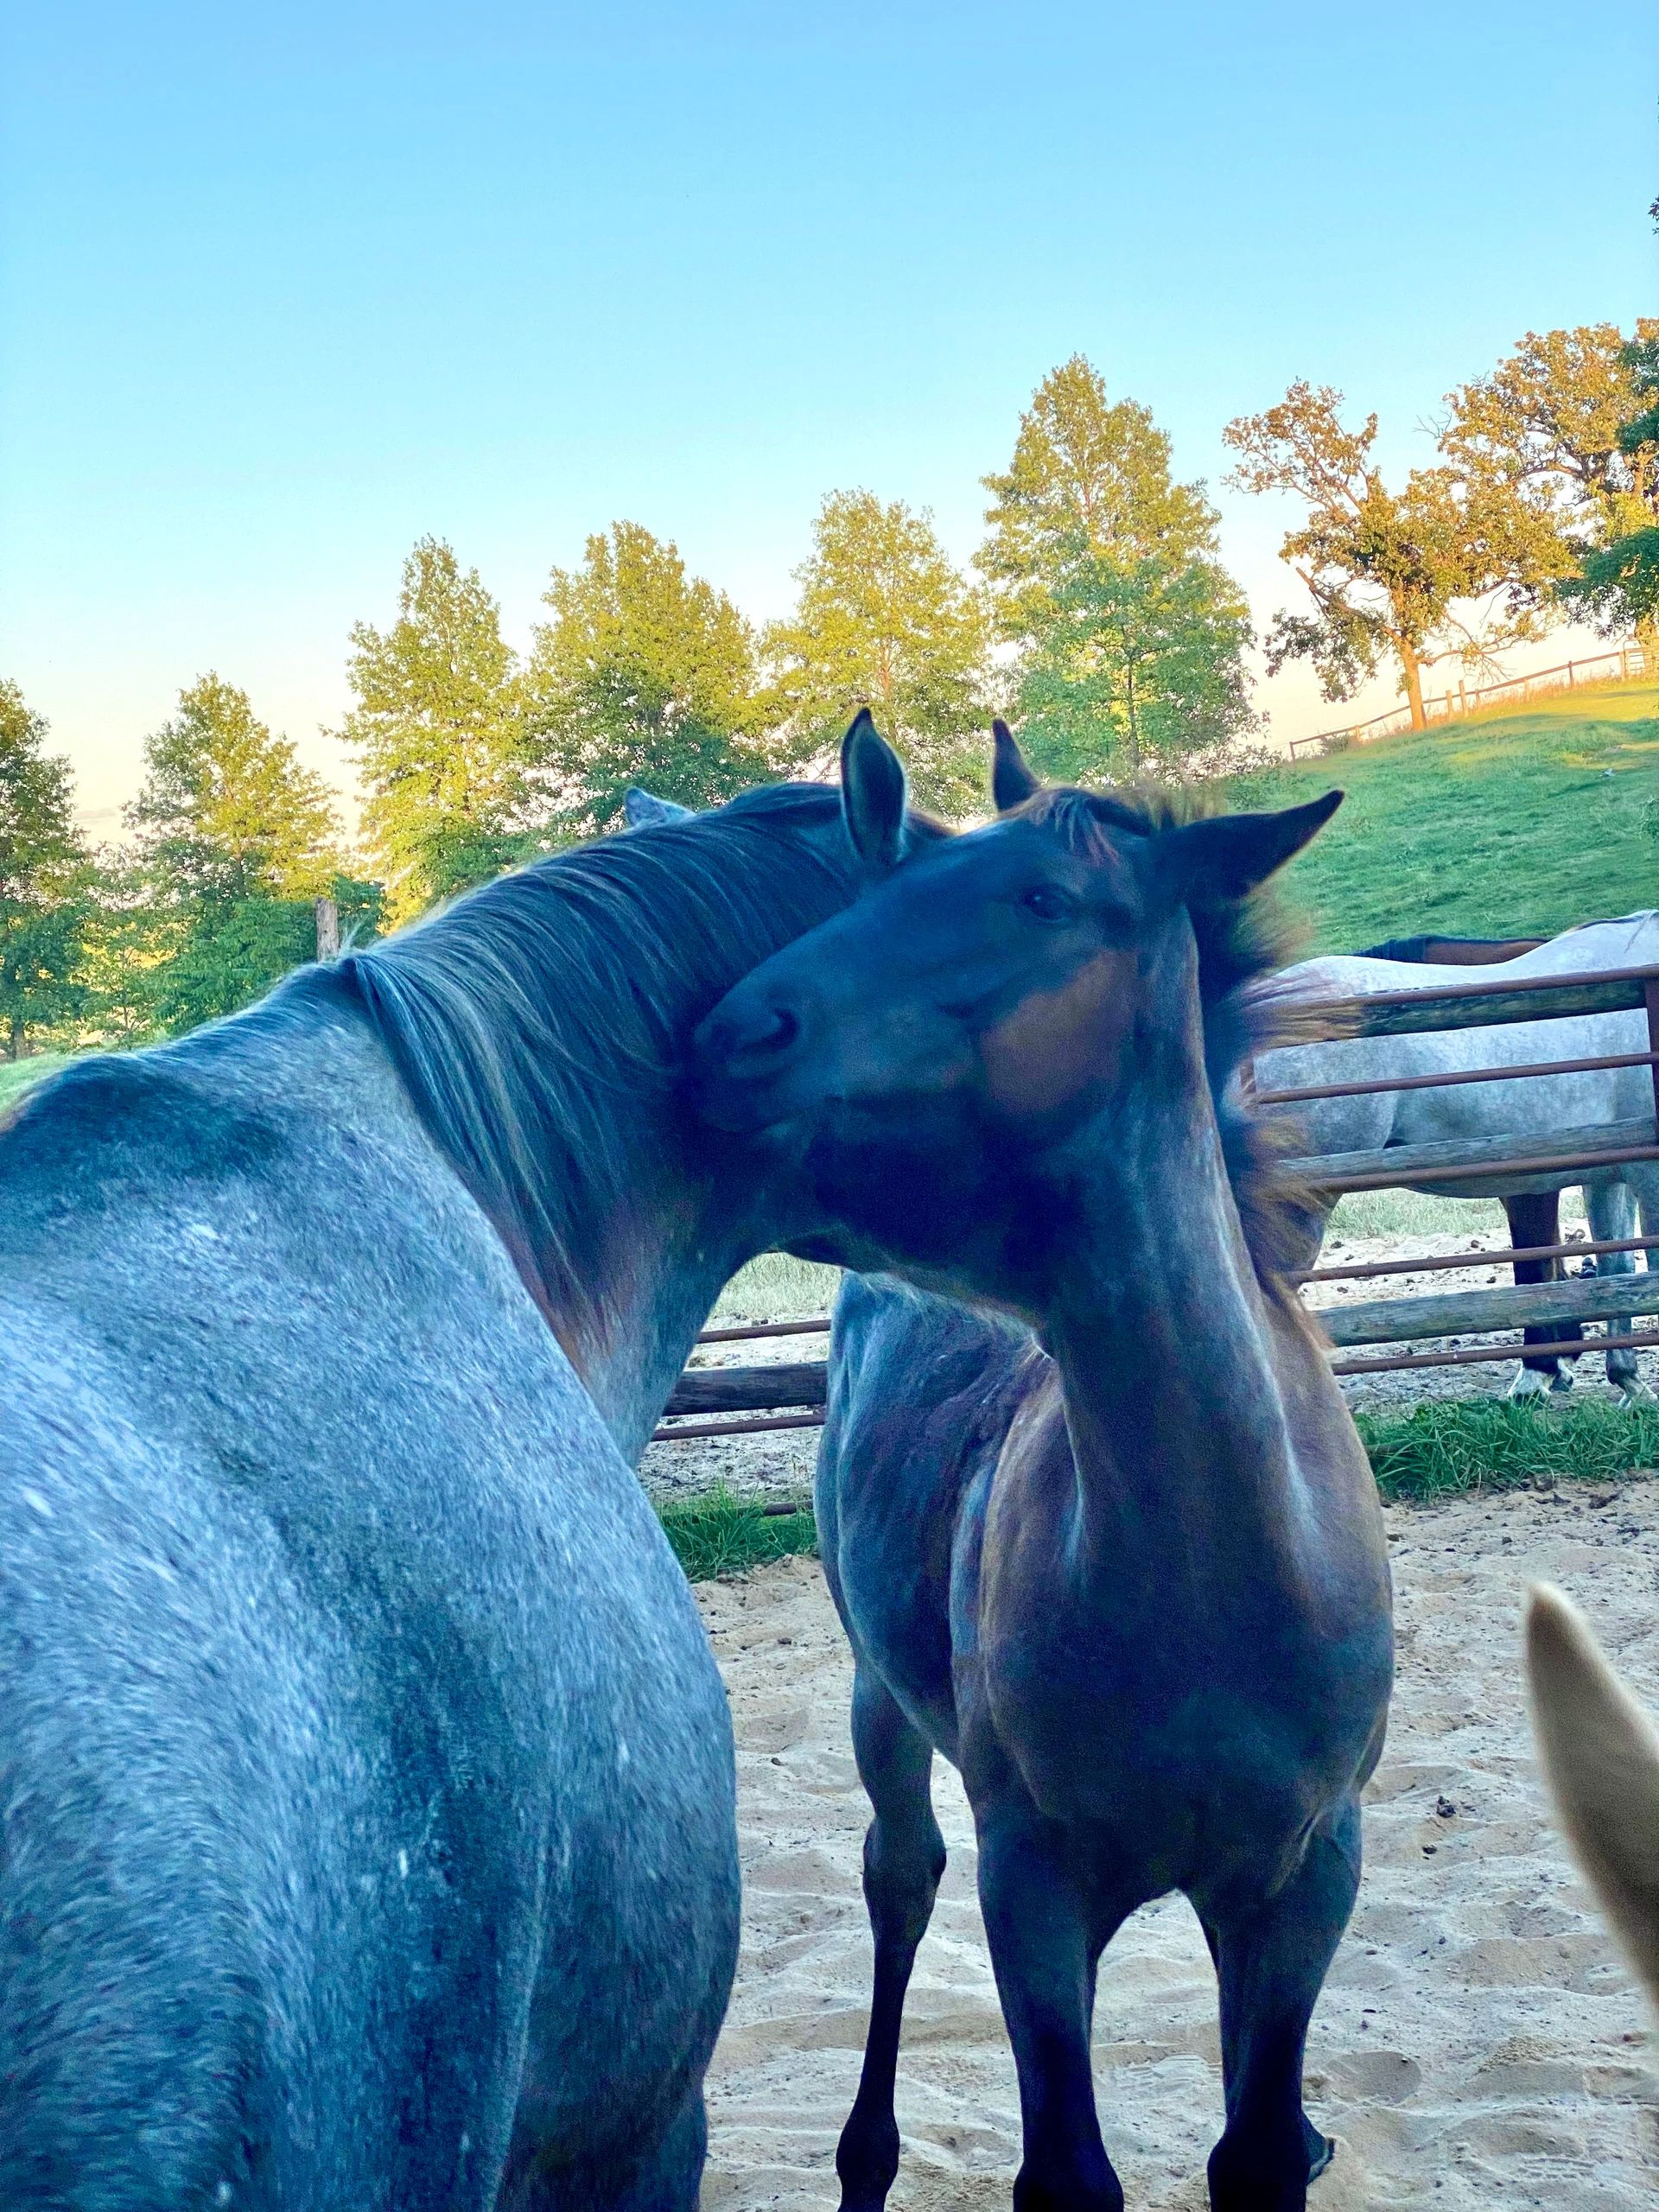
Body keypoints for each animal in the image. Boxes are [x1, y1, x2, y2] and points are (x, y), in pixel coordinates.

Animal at [693, 718, 1394, 2212]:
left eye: (1040, 900)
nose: (733, 1033)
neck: (1217, 1580)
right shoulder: (1035, 1880)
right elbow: (1066, 2166)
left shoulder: (1308, 1878)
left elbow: (1257, 2147)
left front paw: (1296, 2133)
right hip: (883, 1707)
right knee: (900, 1880)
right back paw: (864, 2158)